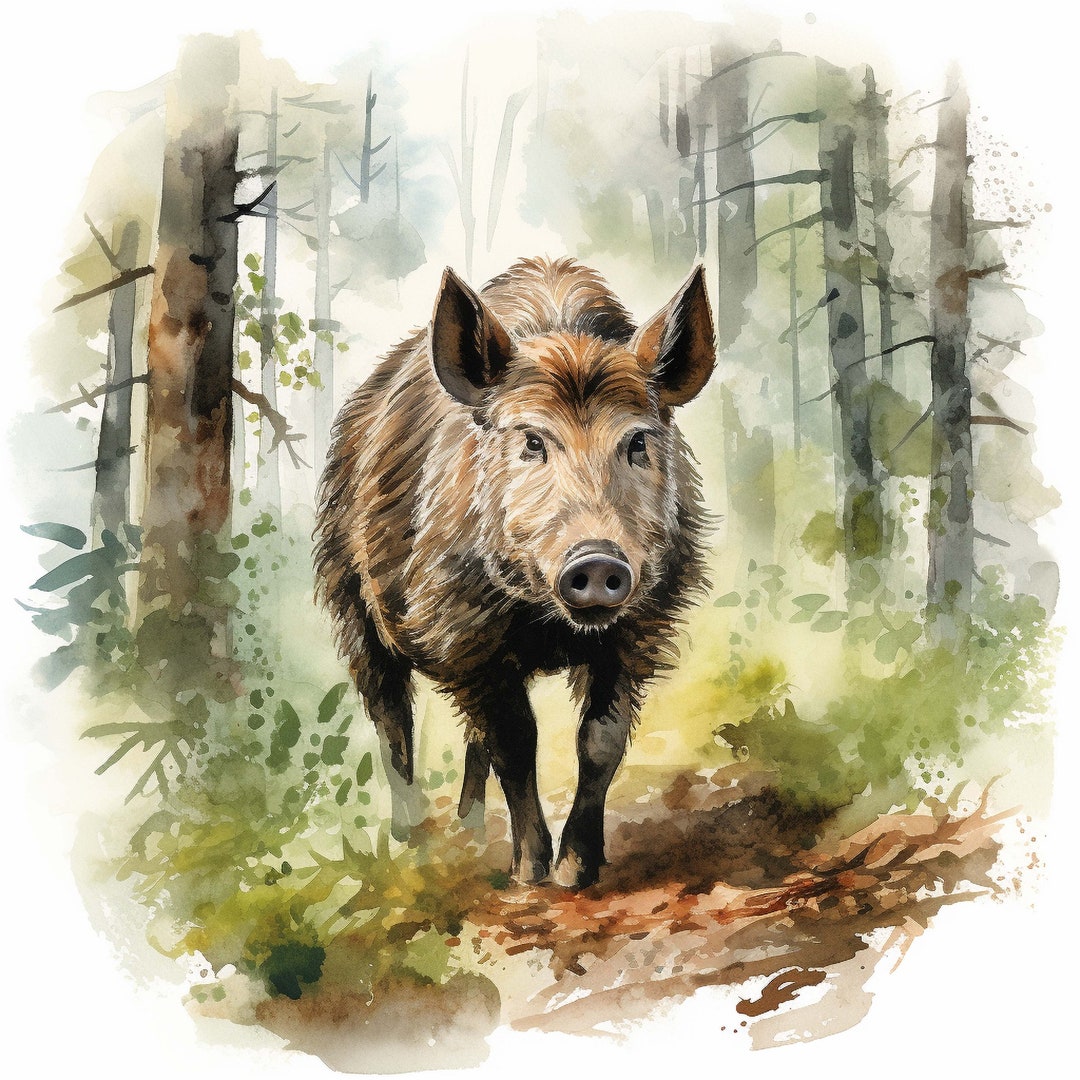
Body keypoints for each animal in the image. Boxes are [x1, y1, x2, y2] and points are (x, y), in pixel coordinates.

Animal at [314, 256, 715, 888]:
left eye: (637, 442)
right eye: (531, 441)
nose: (596, 559)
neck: (548, 625)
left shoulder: (640, 627)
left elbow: (599, 740)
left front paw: (576, 873)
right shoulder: (463, 629)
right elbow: (515, 740)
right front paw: (530, 874)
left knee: (469, 735)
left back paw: (471, 830)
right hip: (349, 602)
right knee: (391, 718)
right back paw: (415, 844)